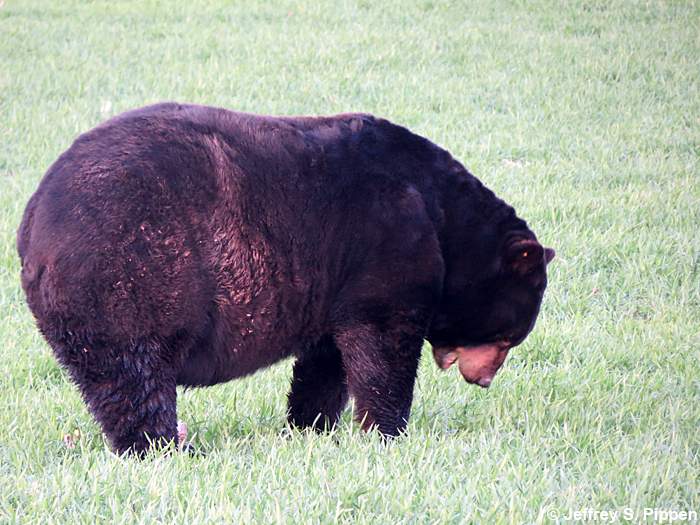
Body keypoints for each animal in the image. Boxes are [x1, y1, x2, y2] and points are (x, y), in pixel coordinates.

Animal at [17, 103, 554, 456]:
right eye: (509, 336)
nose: (483, 379)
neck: (444, 218)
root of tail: (34, 224)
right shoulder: (389, 242)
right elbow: (384, 346)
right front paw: (386, 431)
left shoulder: (334, 284)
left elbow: (327, 360)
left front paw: (309, 426)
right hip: (129, 273)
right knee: (134, 375)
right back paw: (165, 447)